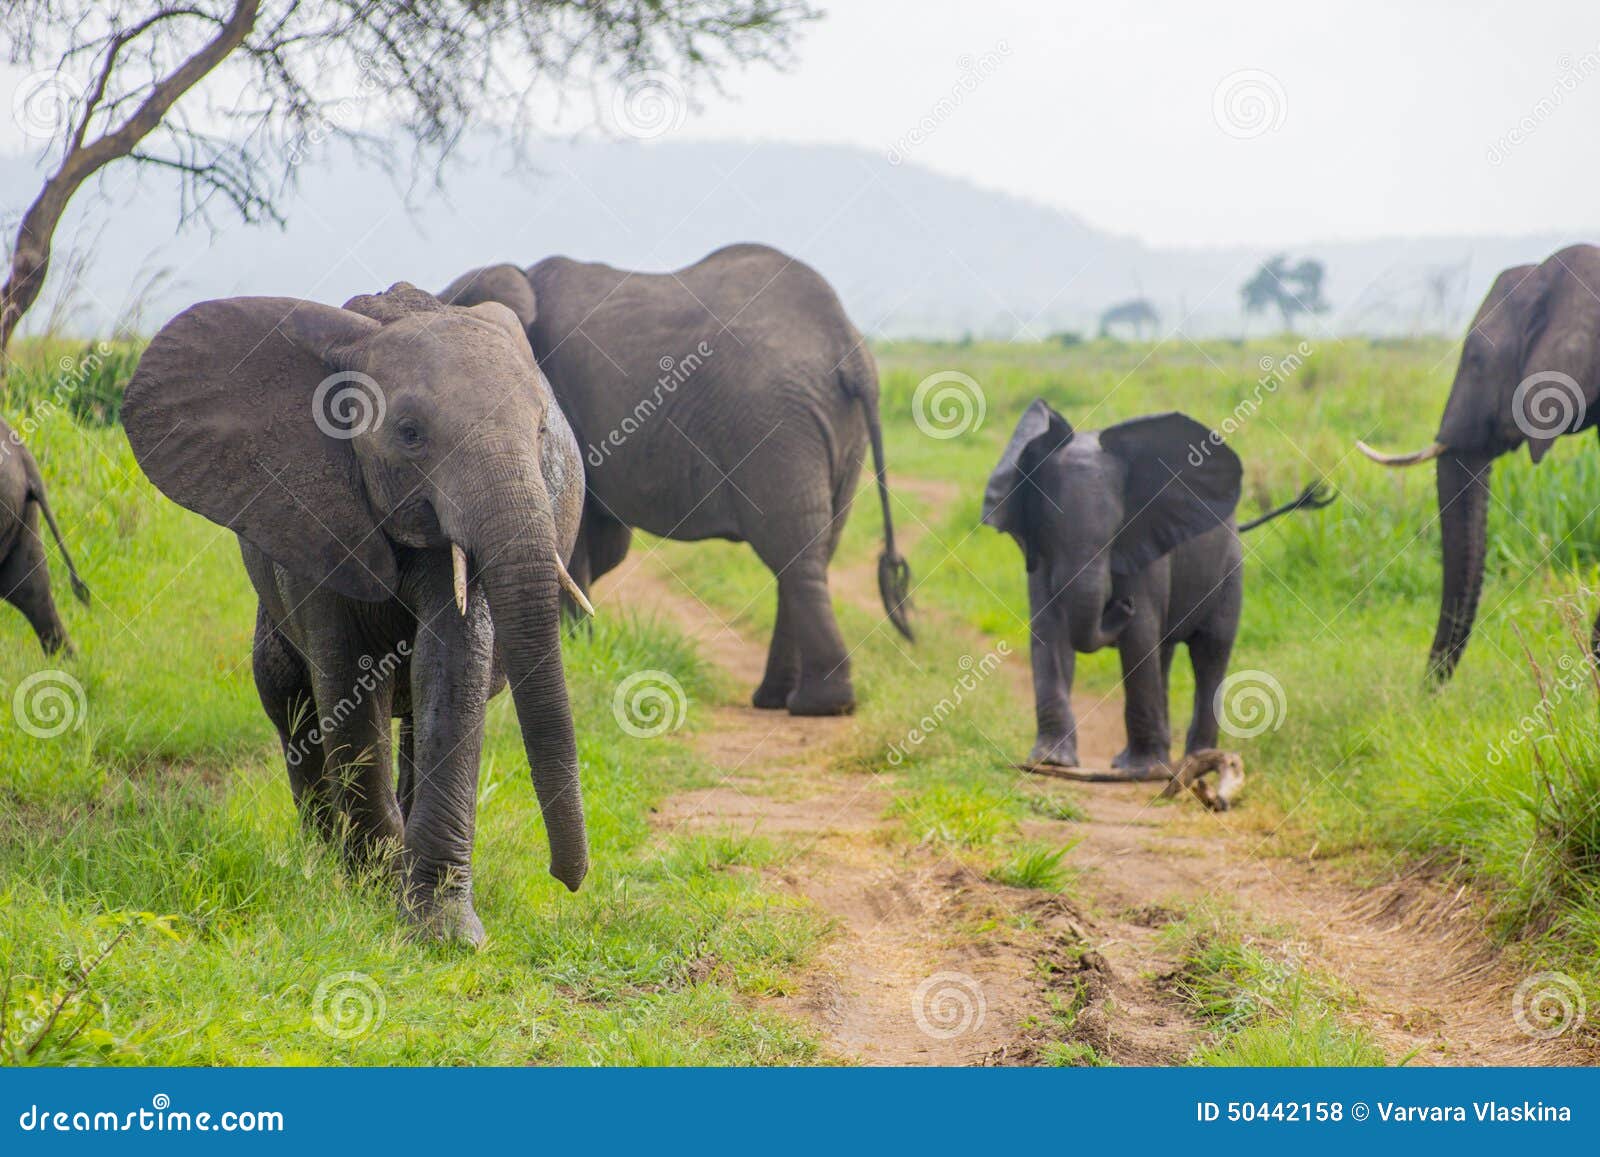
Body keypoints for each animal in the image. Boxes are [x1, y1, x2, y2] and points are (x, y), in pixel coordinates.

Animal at [122, 283, 590, 945]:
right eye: (411, 433)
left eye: (542, 430)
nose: (566, 880)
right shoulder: (317, 512)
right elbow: (346, 680)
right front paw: (378, 892)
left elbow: (452, 670)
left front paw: (441, 932)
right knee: (286, 695)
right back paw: (324, 865)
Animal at [440, 243, 912, 716]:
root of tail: (851, 348)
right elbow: (601, 543)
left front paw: (577, 648)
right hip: (829, 429)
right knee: (810, 551)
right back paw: (780, 699)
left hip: (775, 427)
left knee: (793, 551)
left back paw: (817, 705)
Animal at [983, 399, 1332, 778]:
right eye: (1048, 524)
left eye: (1117, 526)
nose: (1121, 604)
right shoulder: (1042, 557)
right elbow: (1049, 631)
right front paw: (1050, 761)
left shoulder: (1146, 544)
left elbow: (1138, 637)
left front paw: (1141, 771)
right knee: (1163, 654)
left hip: (1229, 567)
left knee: (1210, 653)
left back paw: (1196, 763)